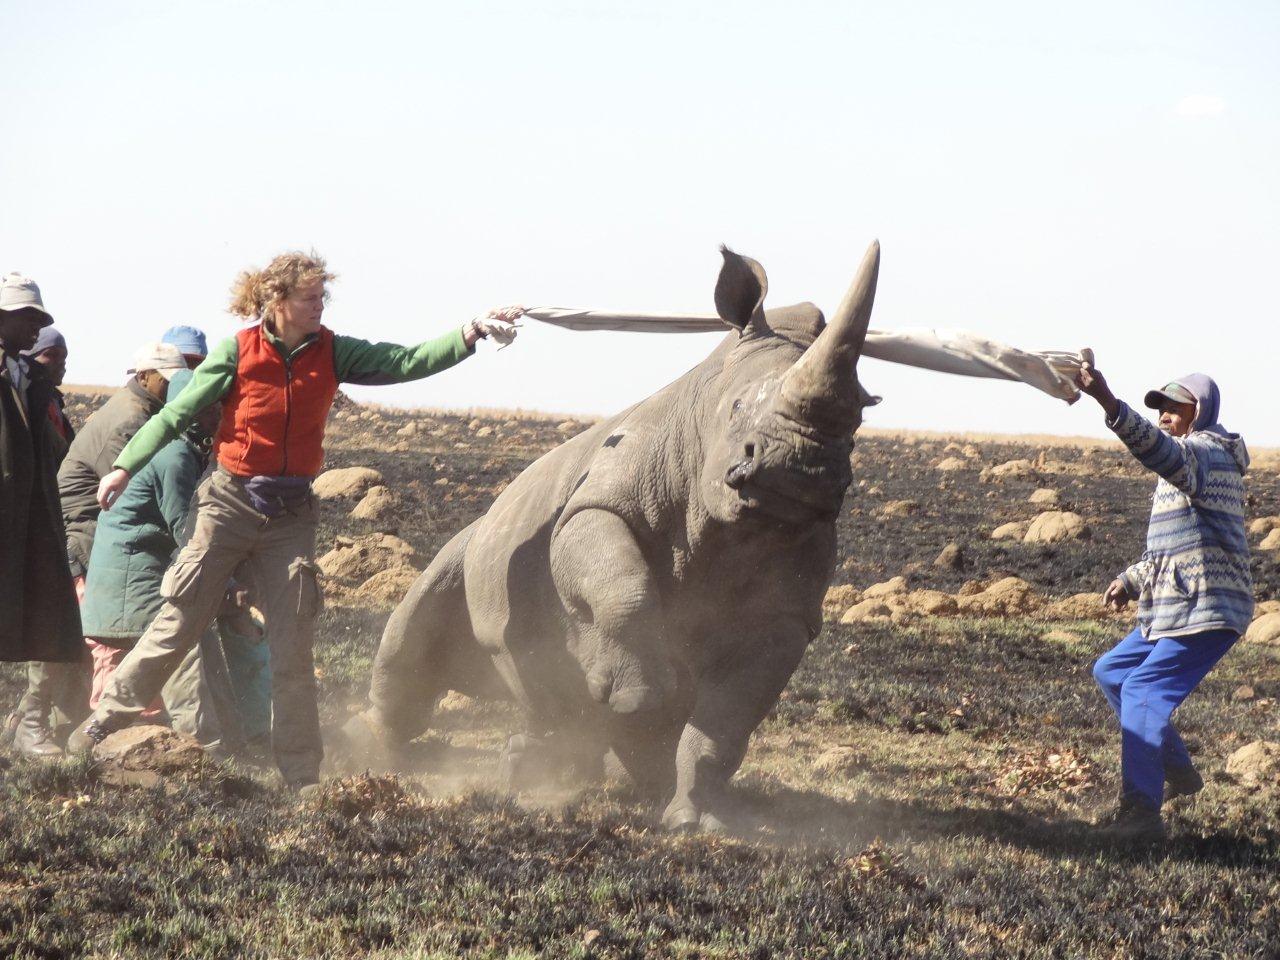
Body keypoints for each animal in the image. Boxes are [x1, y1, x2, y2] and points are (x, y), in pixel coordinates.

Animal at [345, 240, 881, 831]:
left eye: (857, 424)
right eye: (738, 407)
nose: (799, 469)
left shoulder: (789, 610)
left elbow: (727, 721)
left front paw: (696, 819)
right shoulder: (595, 504)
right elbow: (620, 578)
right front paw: (635, 695)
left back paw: (562, 768)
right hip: (478, 537)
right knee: (415, 632)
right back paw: (376, 753)